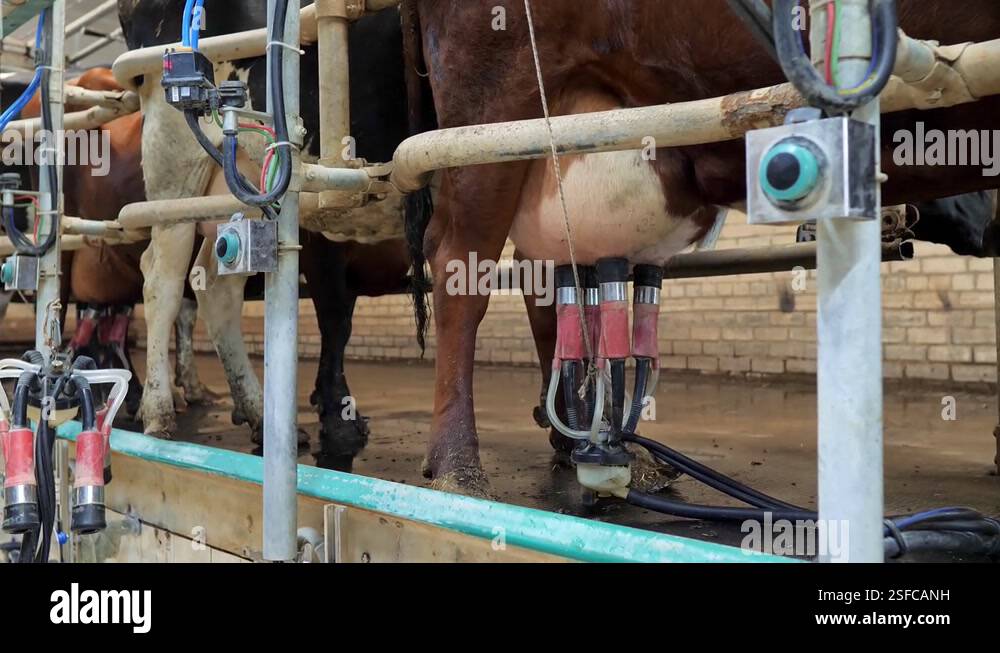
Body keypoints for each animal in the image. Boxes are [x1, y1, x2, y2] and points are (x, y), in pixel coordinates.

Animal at [401, 0, 1000, 495]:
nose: (982, 225)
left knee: (548, 283)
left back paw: (593, 451)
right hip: (486, 110)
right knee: (458, 266)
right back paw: (458, 468)